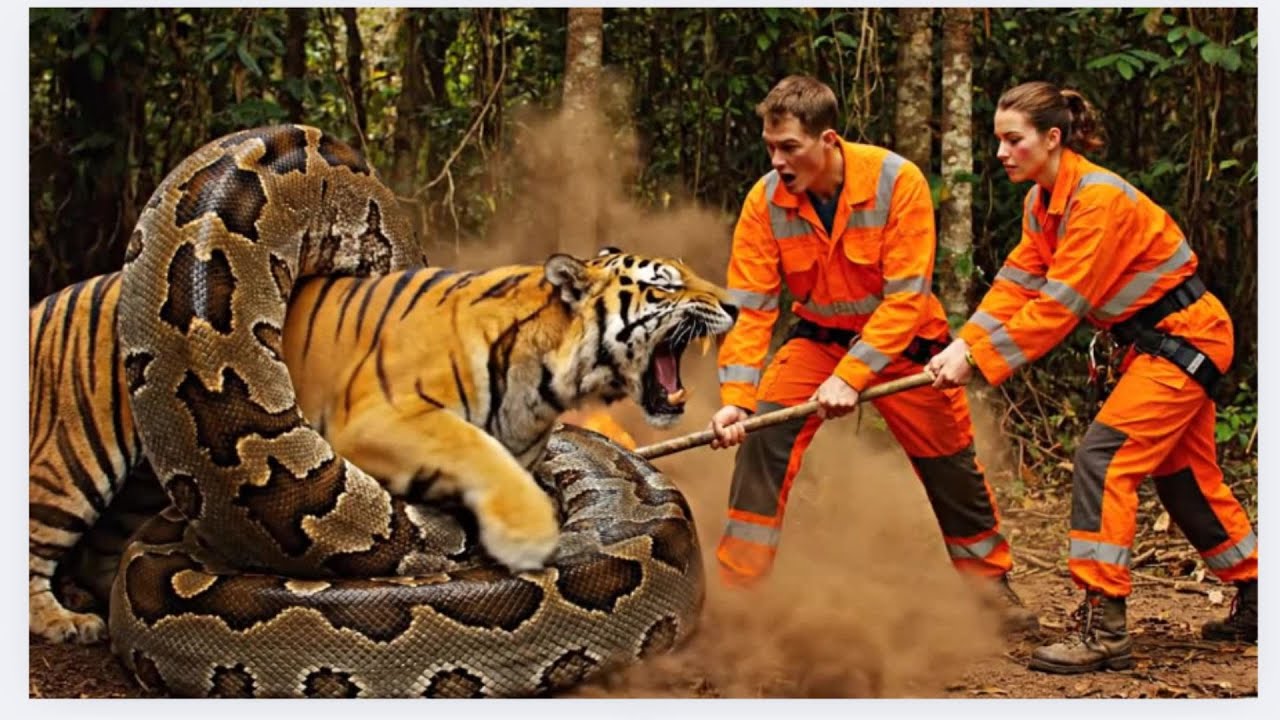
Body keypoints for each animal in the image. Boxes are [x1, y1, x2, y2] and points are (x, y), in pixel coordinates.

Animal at [29, 248, 738, 644]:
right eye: (666, 285)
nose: (733, 303)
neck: (545, 380)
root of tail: (61, 294)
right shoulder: (379, 420)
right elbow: (475, 449)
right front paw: (528, 532)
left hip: (150, 477)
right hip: (74, 456)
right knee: (39, 533)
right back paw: (63, 621)